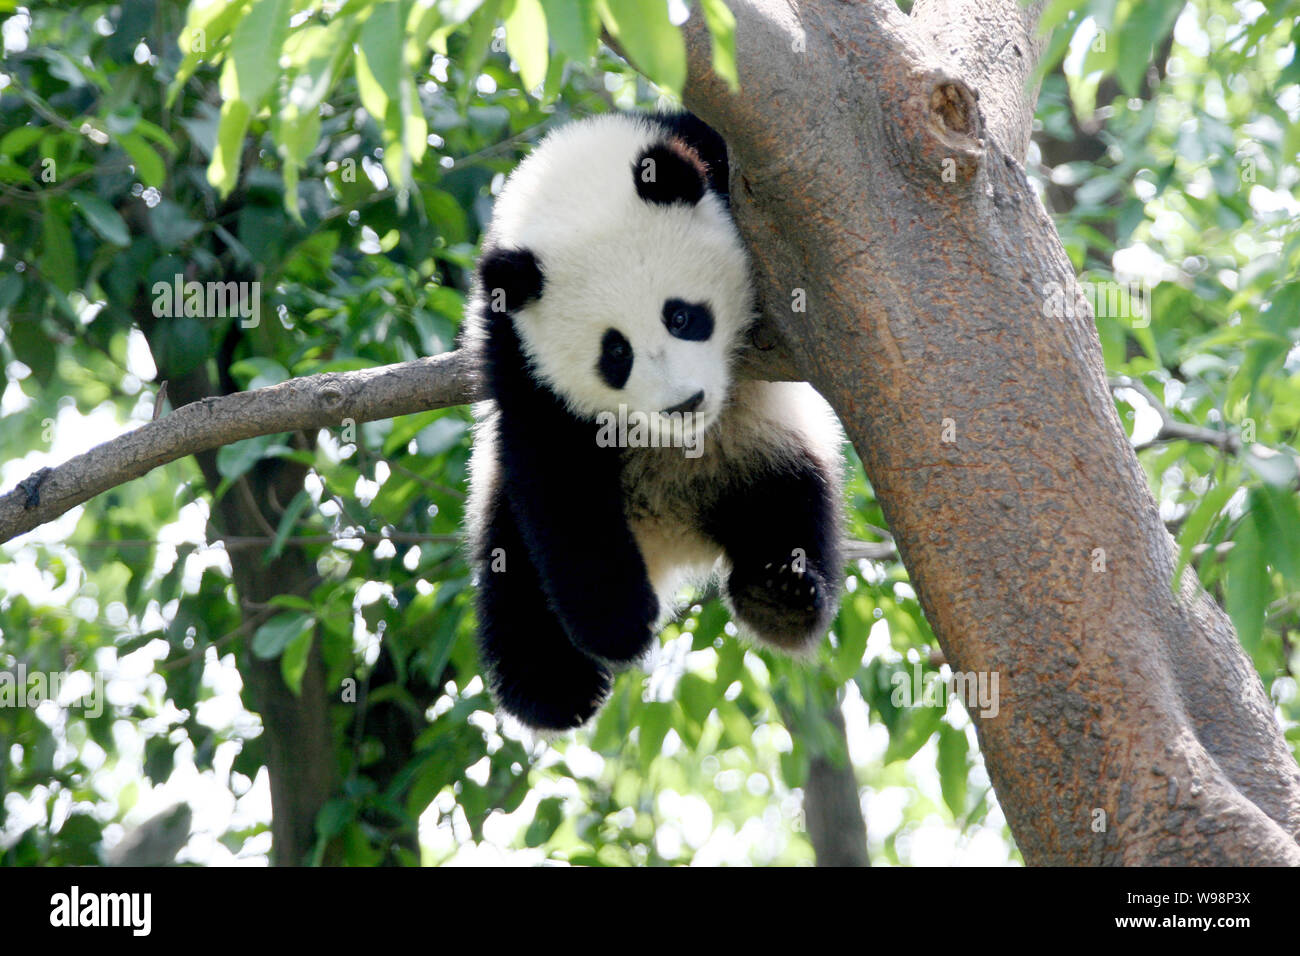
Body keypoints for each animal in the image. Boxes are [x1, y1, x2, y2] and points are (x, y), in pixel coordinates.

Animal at [462, 111, 846, 731]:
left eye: (681, 316)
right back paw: (554, 684)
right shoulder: (515, 353)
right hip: (505, 511)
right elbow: (558, 476)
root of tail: (672, 532)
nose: (683, 405)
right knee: (514, 577)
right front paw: (619, 626)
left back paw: (779, 596)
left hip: (768, 452)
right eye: (615, 353)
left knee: (793, 505)